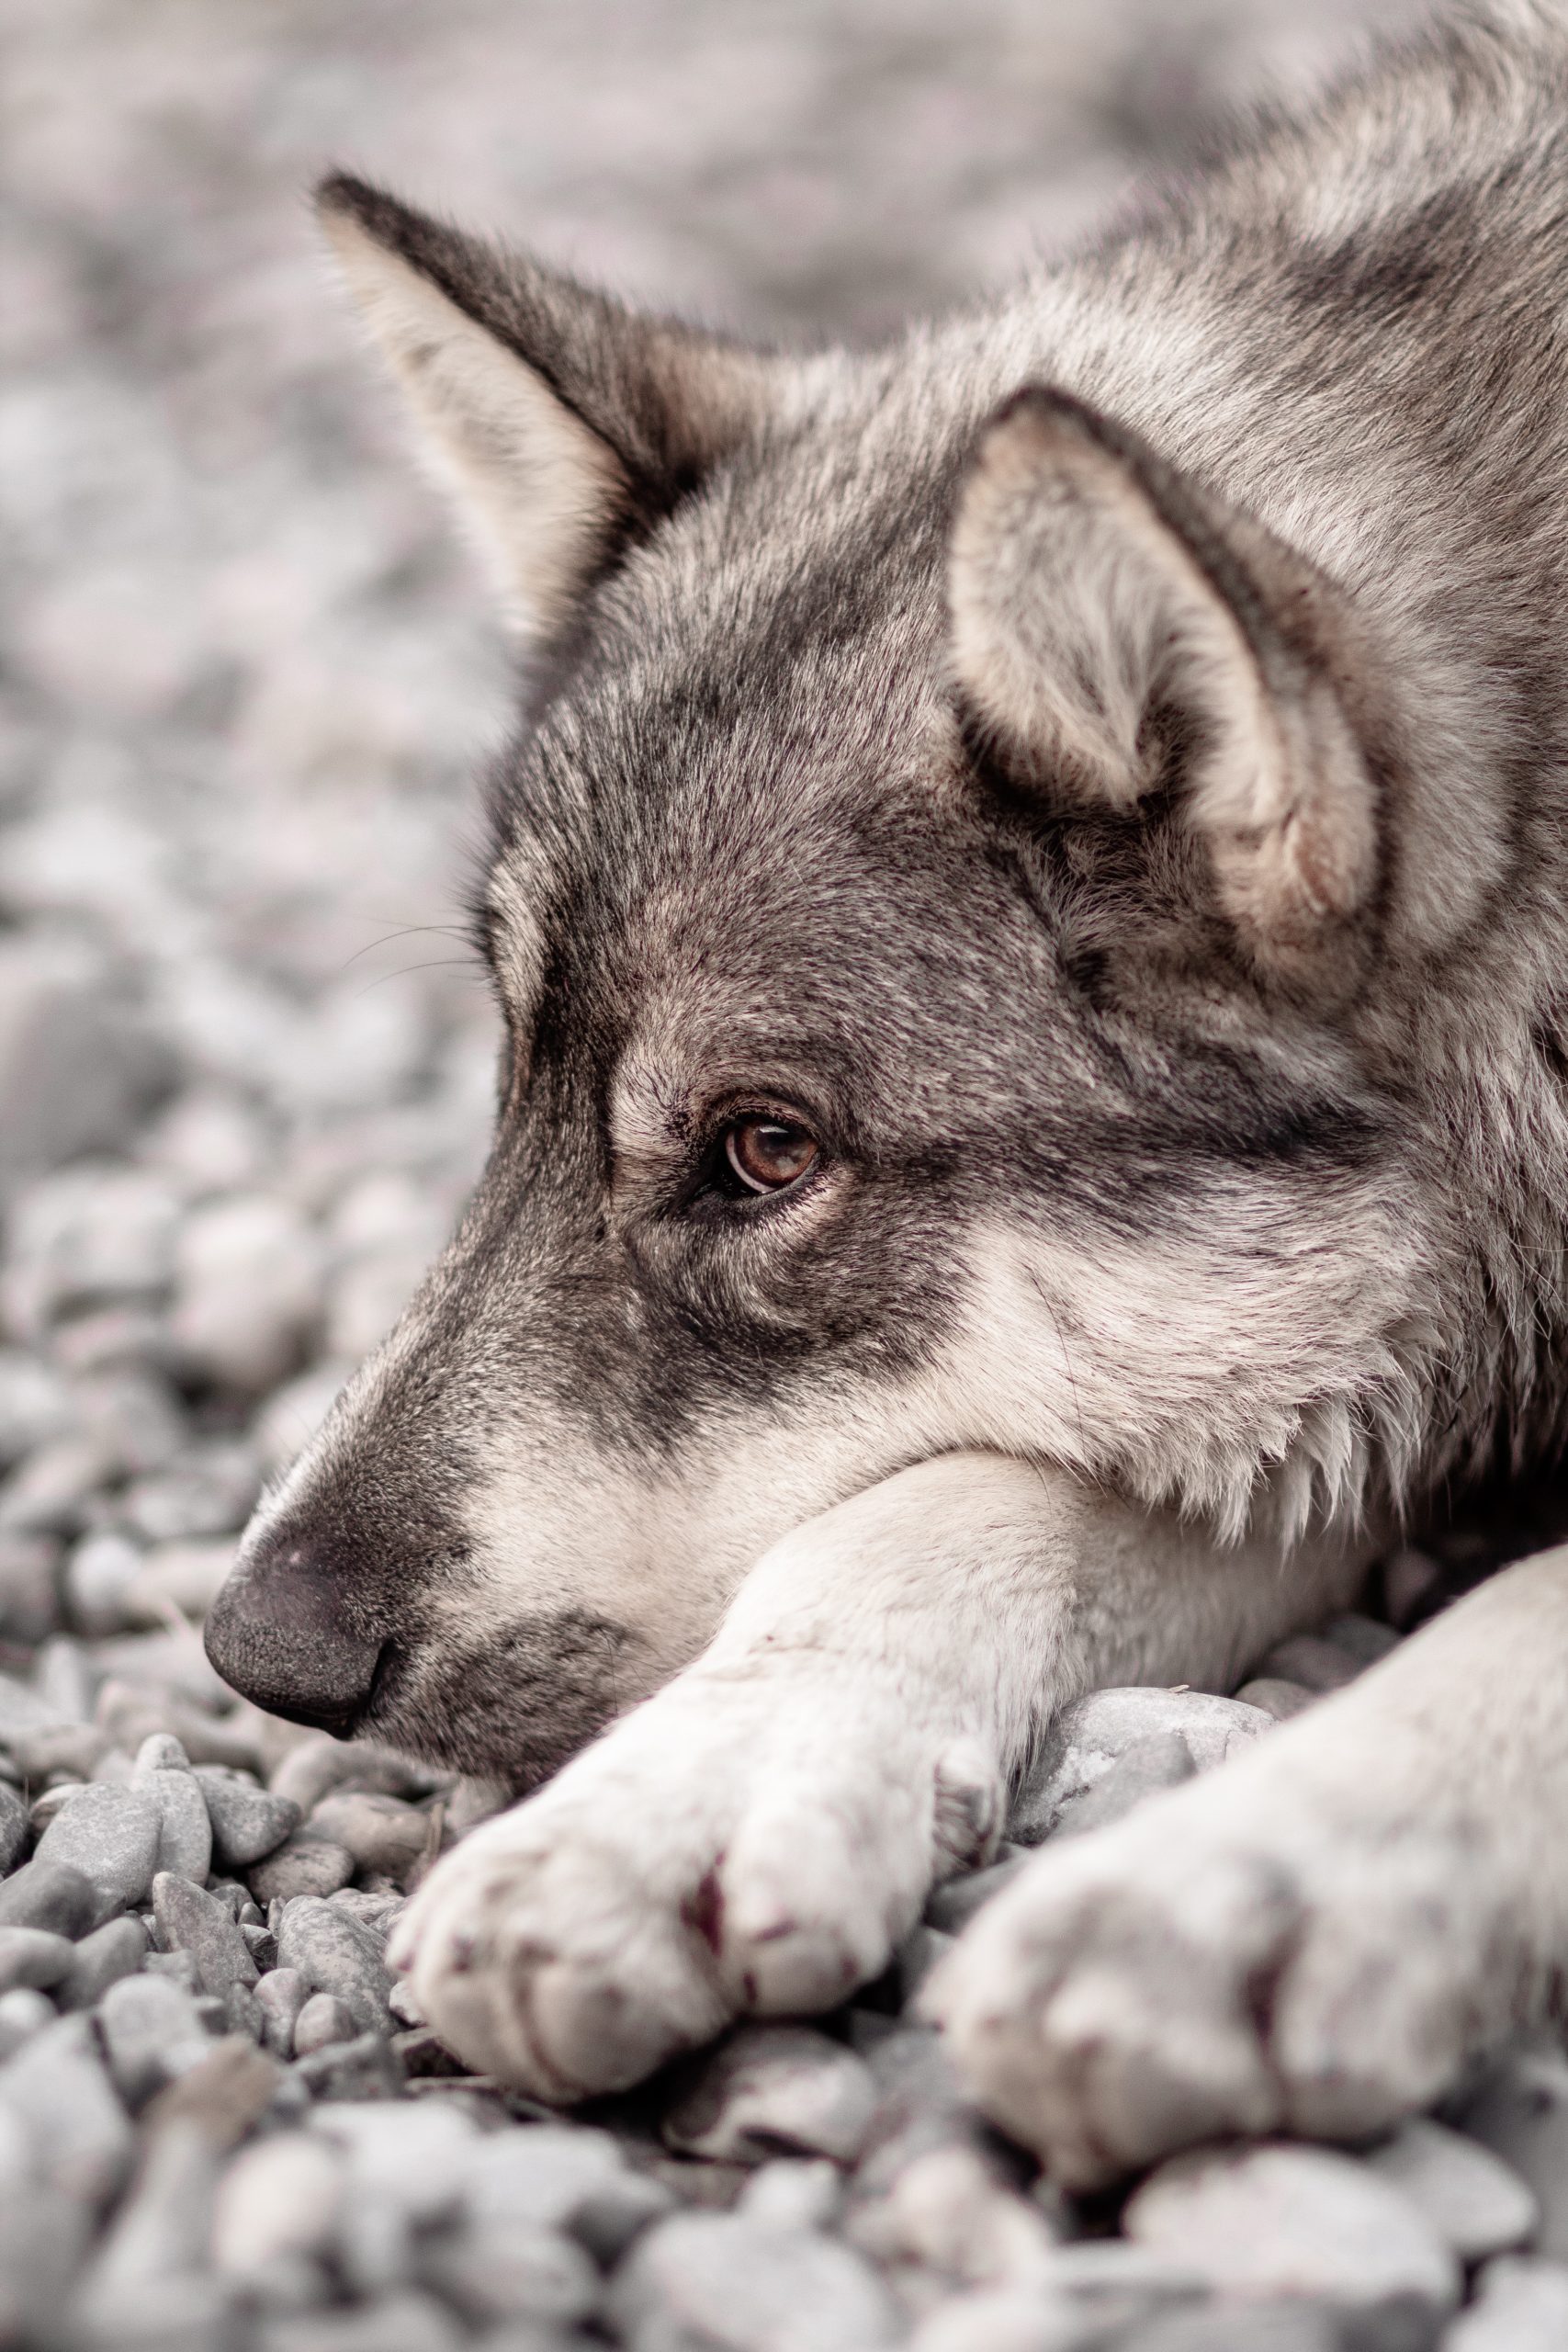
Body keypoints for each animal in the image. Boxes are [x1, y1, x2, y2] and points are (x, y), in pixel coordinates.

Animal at [205, 0, 1568, 2185]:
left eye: (763, 1153)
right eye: (514, 1083)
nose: (259, 1650)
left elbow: (1529, 1617)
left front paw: (1252, 1875)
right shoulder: (1329, 1389)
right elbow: (934, 1506)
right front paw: (671, 1803)